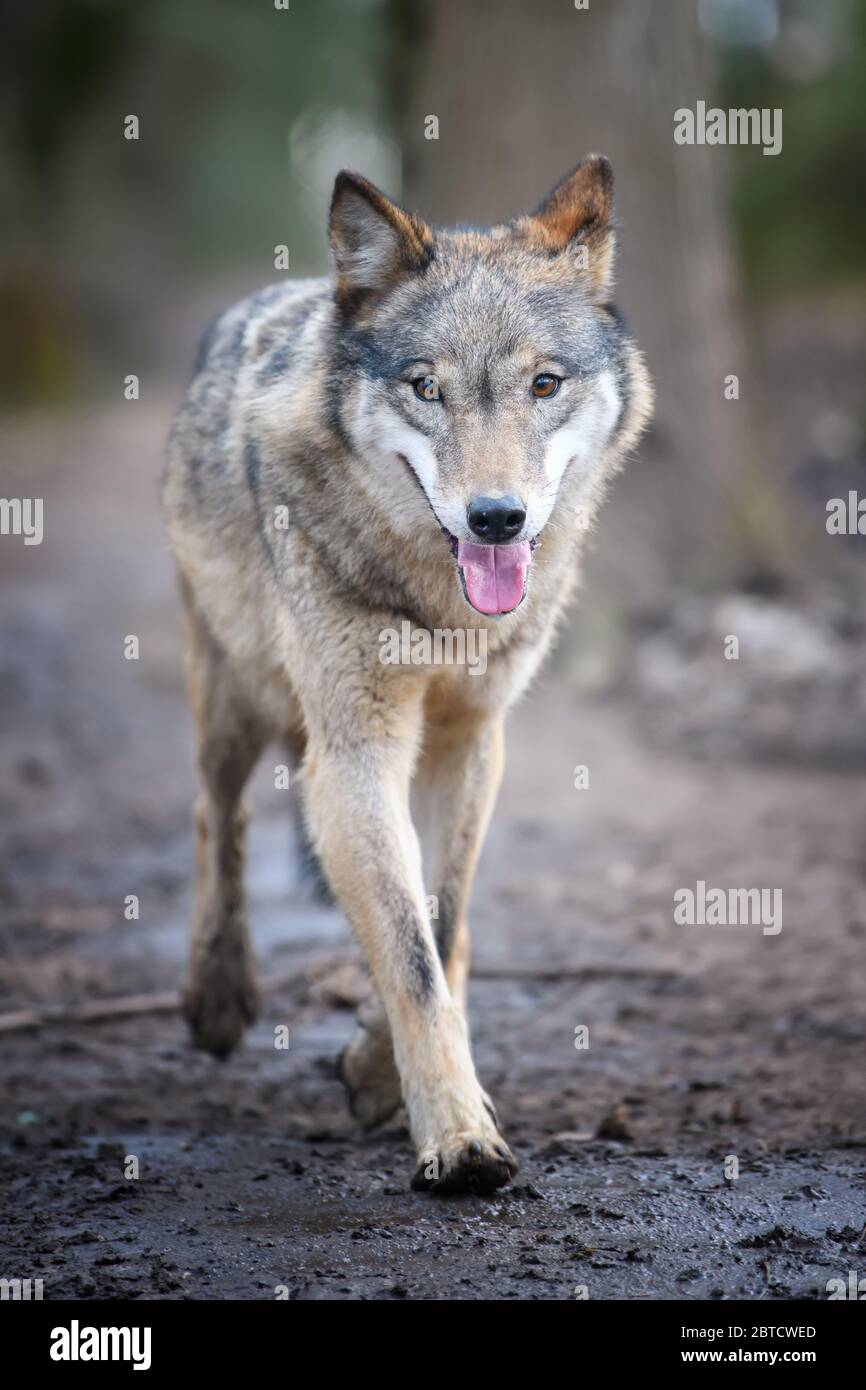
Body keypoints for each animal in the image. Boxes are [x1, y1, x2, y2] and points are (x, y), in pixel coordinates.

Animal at [162, 155, 652, 1194]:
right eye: (426, 388)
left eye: (544, 383)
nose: (497, 518)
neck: (442, 610)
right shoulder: (356, 753)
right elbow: (409, 950)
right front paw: (458, 1140)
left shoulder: (470, 741)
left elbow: (441, 919)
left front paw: (379, 1075)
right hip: (232, 696)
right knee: (214, 812)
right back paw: (218, 995)